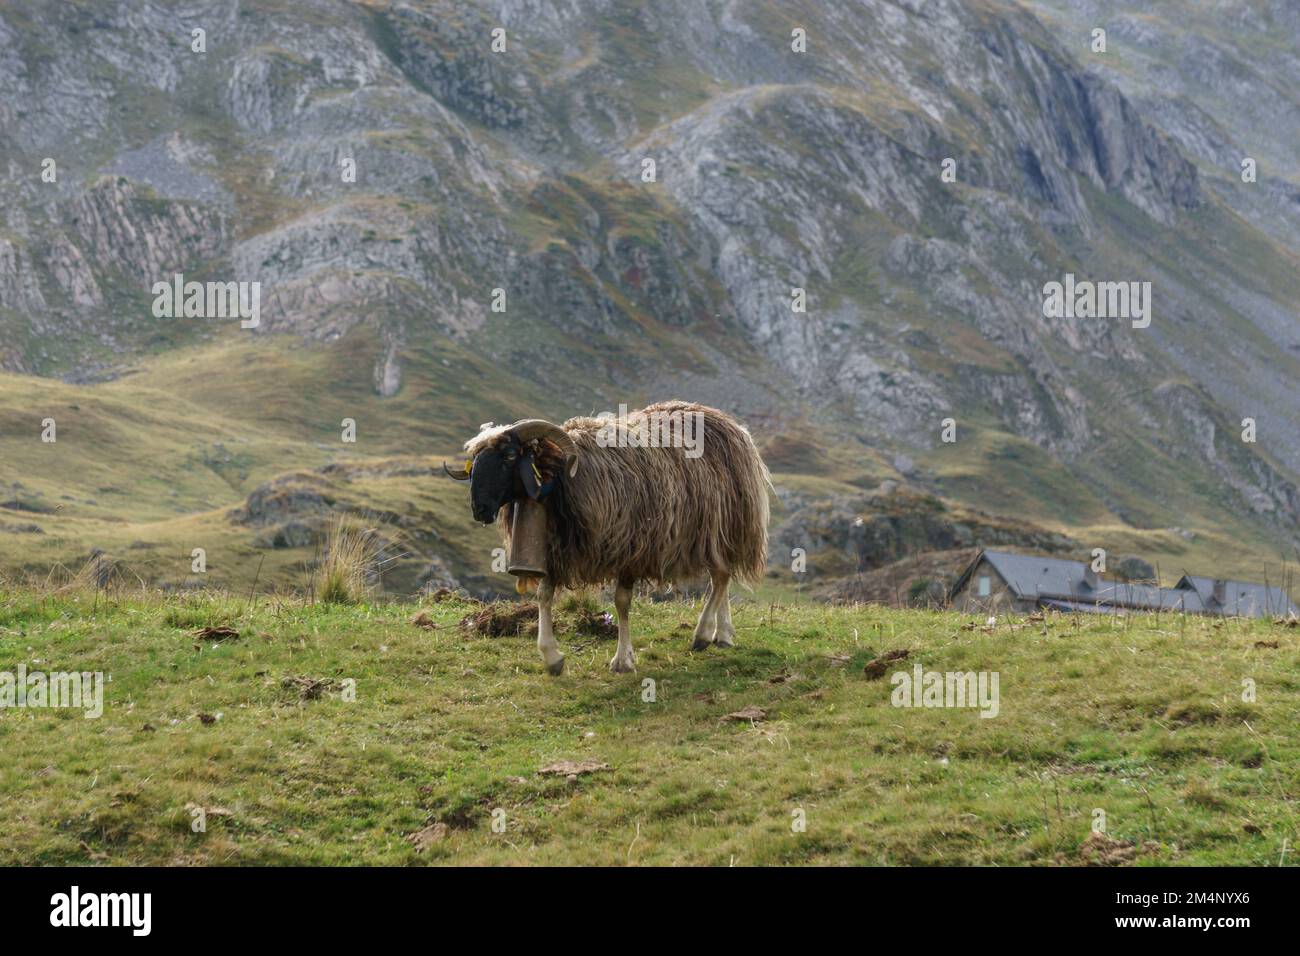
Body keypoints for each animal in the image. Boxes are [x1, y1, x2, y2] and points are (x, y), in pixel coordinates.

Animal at [446, 401, 772, 675]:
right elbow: (544, 596)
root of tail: (726, 420)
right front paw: (552, 657)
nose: (479, 508)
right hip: (715, 533)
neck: (566, 477)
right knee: (721, 577)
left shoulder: (630, 549)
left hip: (727, 524)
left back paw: (703, 634)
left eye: (510, 456)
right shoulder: (555, 550)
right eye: (475, 460)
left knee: (721, 576)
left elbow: (622, 603)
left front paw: (622, 660)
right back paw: (723, 634)